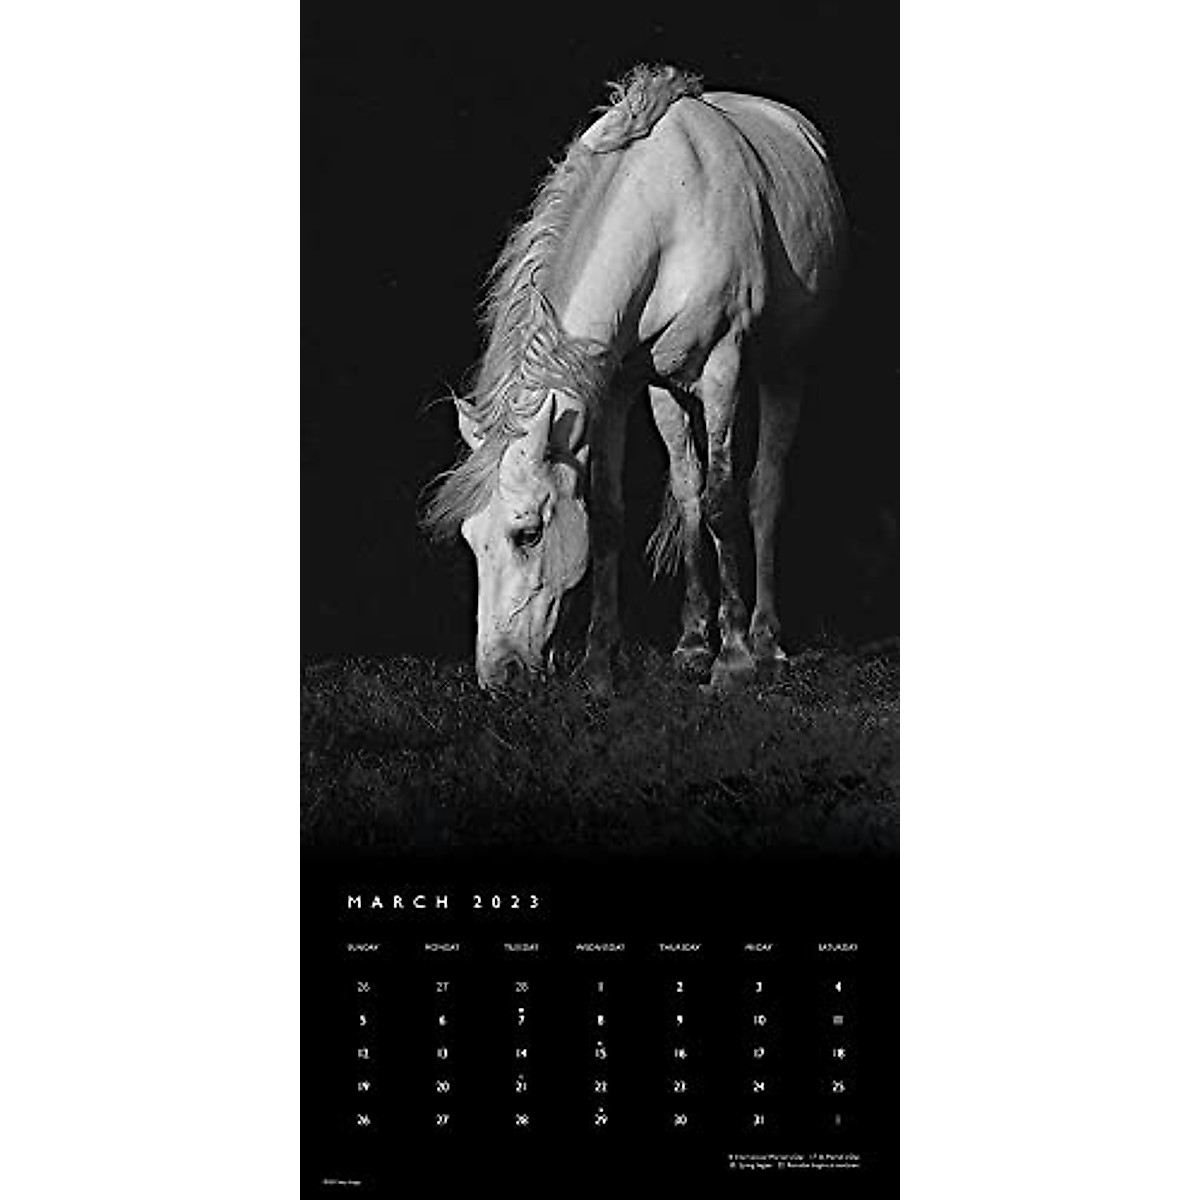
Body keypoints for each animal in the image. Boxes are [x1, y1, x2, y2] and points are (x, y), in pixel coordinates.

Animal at [423, 65, 845, 694]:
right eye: (472, 541)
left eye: (528, 533)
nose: (499, 676)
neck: (665, 210)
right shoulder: (618, 388)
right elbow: (612, 515)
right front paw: (601, 665)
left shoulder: (723, 369)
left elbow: (724, 503)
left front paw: (734, 661)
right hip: (666, 393)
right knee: (688, 491)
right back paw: (692, 644)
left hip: (784, 368)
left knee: (763, 489)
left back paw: (765, 641)